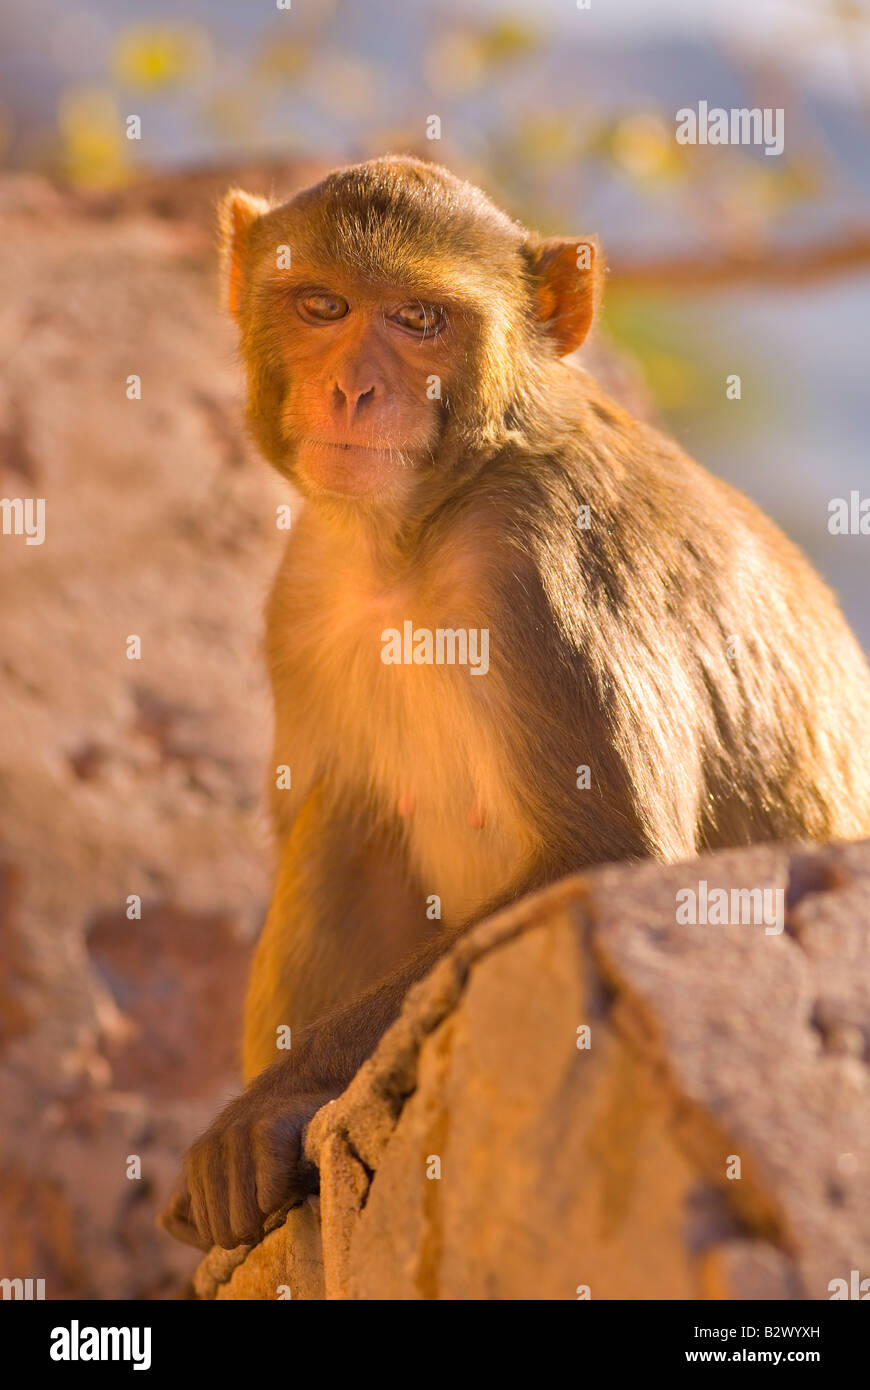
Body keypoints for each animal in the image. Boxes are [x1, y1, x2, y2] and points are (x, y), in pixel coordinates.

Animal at [160, 156, 870, 1253]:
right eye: (321, 305)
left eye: (419, 318)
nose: (353, 389)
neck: (419, 527)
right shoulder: (304, 587)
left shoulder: (549, 562)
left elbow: (607, 856)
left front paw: (266, 1106)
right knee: (349, 815)